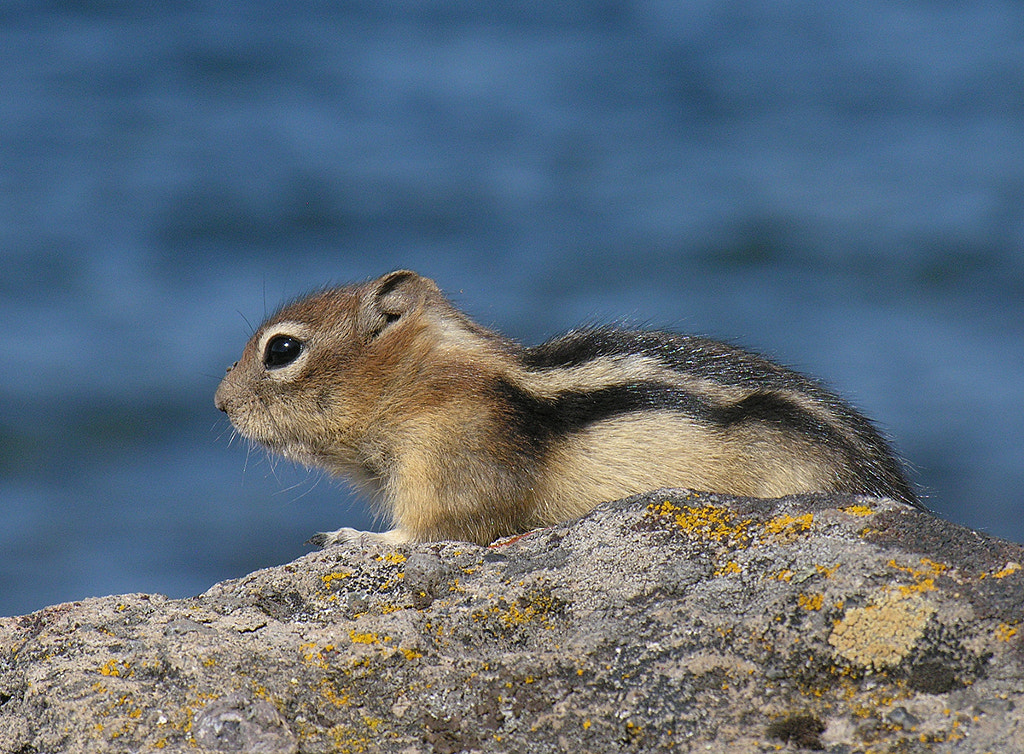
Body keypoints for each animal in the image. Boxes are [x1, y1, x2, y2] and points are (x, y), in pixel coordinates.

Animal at [215, 270, 923, 547]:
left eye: (281, 350)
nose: (220, 404)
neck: (419, 381)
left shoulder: (454, 457)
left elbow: (439, 528)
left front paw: (354, 538)